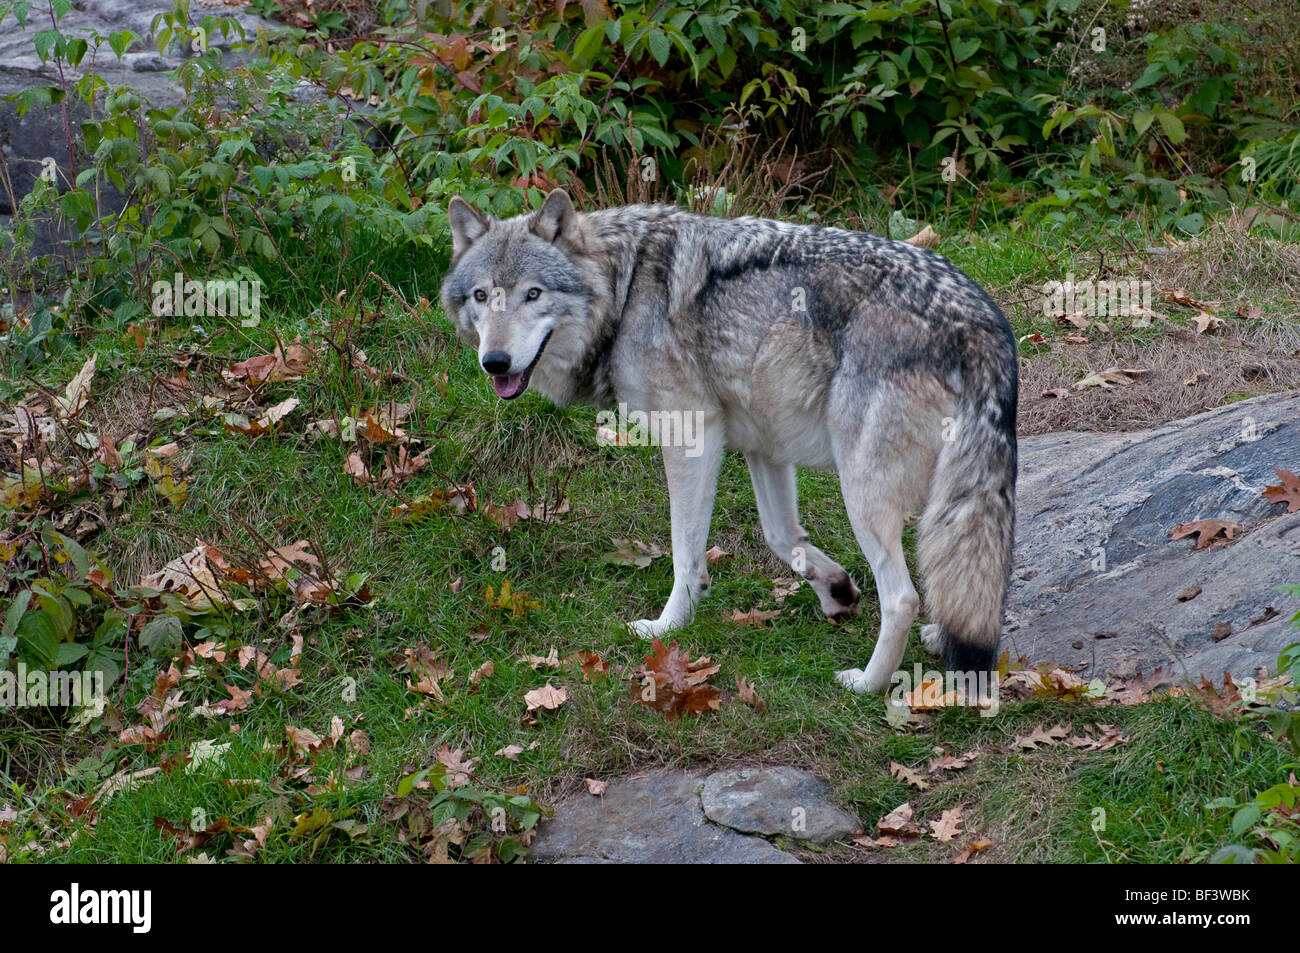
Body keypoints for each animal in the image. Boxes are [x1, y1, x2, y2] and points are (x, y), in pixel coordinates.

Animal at [440, 189, 1017, 693]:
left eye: (533, 294)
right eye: (482, 297)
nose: (495, 362)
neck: (624, 291)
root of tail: (980, 323)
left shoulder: (692, 436)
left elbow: (685, 553)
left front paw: (668, 626)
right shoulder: (765, 446)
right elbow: (784, 538)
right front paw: (835, 591)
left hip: (862, 492)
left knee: (902, 598)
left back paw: (868, 684)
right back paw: (937, 637)